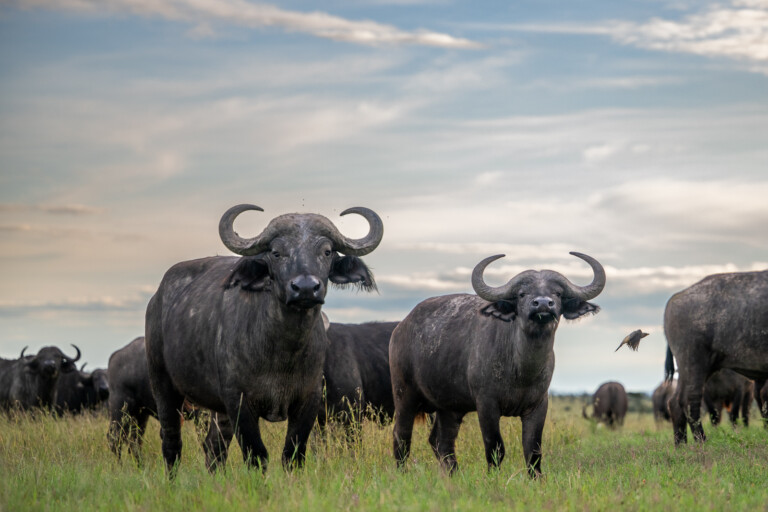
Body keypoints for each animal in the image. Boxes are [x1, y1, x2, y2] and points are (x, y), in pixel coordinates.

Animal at [146, 203, 383, 475]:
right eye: (276, 253)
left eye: (327, 251)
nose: (305, 288)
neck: (283, 352)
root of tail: (156, 299)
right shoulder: (239, 401)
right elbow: (256, 454)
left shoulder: (308, 400)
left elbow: (293, 454)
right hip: (163, 384)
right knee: (171, 441)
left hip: (218, 410)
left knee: (214, 445)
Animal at [389, 251, 605, 477]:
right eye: (522, 294)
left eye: (557, 293)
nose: (543, 304)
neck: (522, 371)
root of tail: (401, 327)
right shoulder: (487, 405)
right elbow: (495, 447)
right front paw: (494, 477)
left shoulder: (539, 405)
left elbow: (533, 450)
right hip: (404, 395)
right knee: (401, 435)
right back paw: (402, 473)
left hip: (449, 407)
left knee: (441, 441)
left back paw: (453, 475)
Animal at [664, 270, 768, 444]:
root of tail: (675, 298)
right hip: (694, 361)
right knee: (688, 400)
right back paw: (701, 442)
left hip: (697, 367)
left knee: (675, 402)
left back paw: (681, 444)